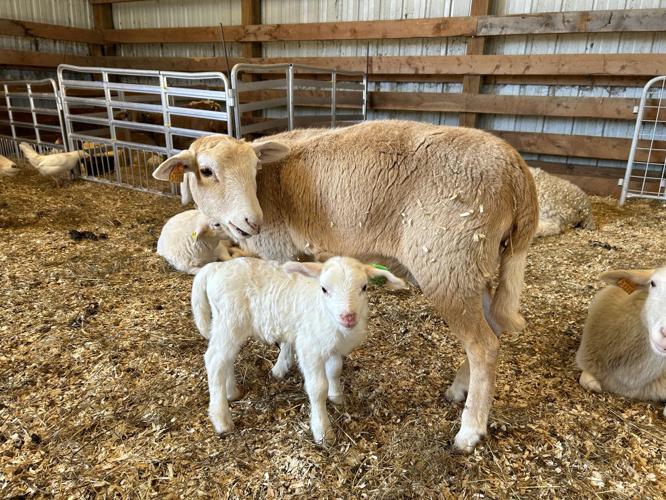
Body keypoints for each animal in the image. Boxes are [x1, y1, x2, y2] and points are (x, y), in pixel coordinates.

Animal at [191, 256, 406, 443]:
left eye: (364, 287)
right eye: (324, 289)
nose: (348, 317)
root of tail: (215, 268)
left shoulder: (334, 347)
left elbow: (335, 370)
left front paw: (337, 396)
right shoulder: (310, 347)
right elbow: (318, 388)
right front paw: (323, 431)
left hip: (226, 324)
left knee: (224, 358)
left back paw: (231, 392)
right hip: (231, 319)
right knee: (214, 359)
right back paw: (222, 419)